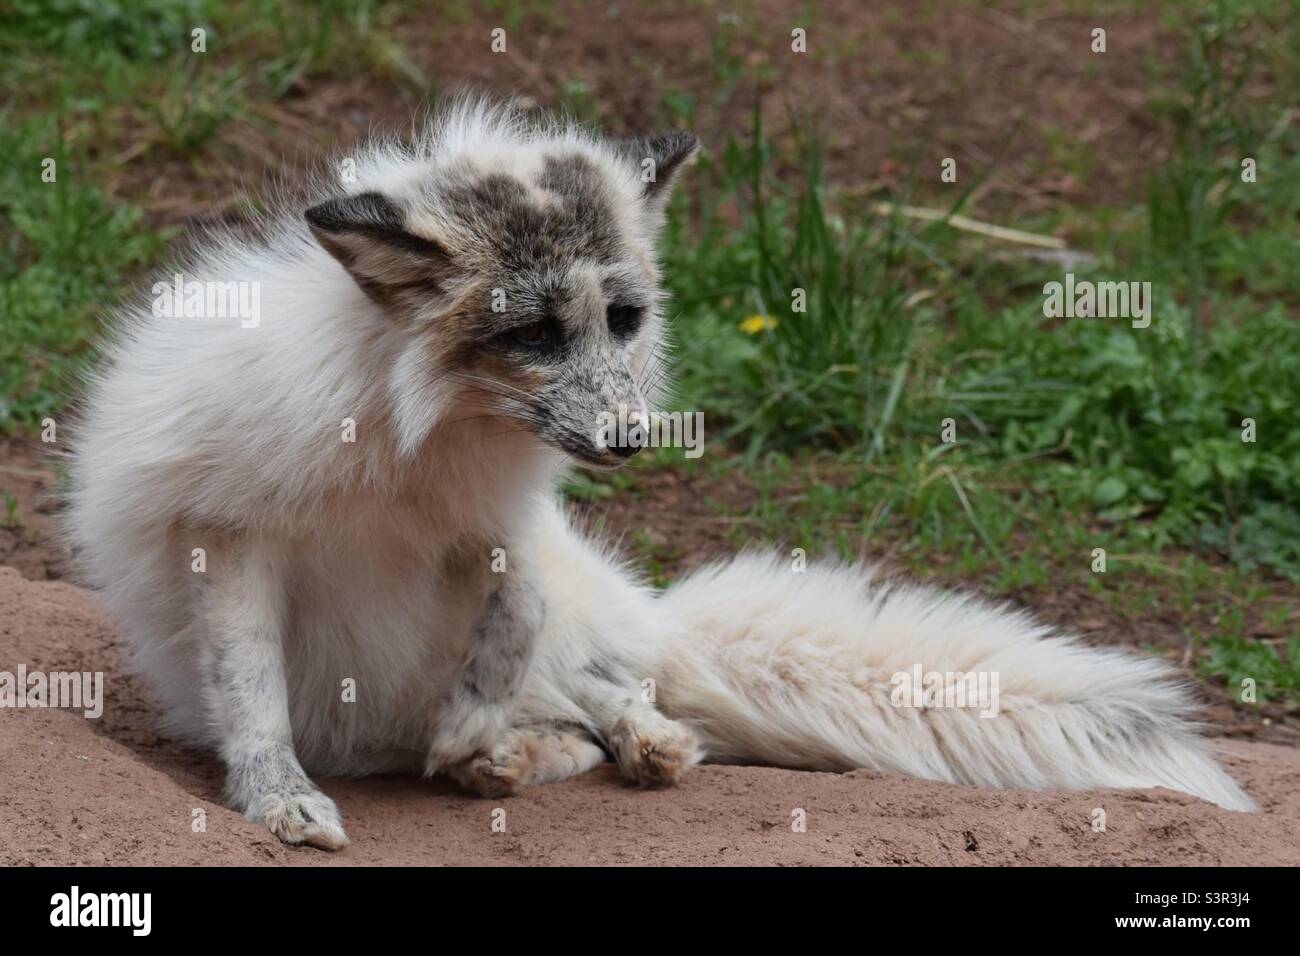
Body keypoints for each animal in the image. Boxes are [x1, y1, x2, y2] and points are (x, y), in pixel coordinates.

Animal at [63, 97, 1254, 850]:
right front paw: (281, 799)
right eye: (534, 333)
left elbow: (519, 609)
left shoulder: (499, 525)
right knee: (560, 714)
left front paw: (471, 720)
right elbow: (254, 693)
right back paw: (509, 756)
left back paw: (603, 744)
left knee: (607, 688)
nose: (636, 441)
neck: (413, 434)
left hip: (584, 617)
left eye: (625, 319)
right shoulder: (231, 533)